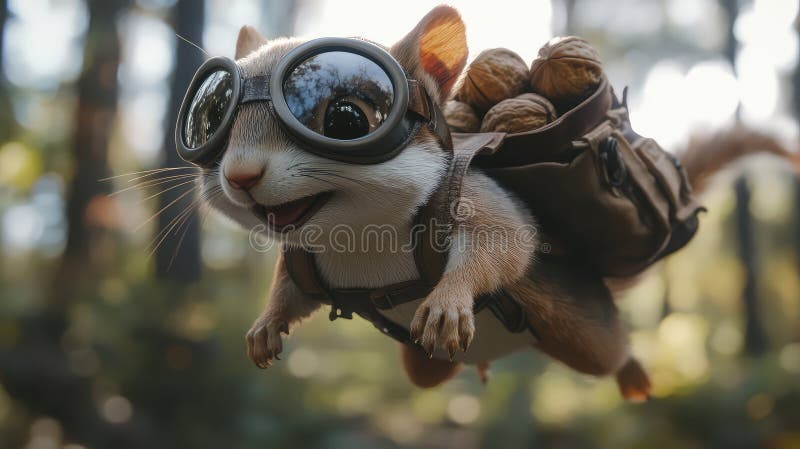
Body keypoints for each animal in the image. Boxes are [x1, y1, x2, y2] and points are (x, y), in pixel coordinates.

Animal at [196, 6, 797, 401]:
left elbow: (505, 242)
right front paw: (265, 326)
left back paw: (631, 375)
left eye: (347, 118)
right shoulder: (303, 259)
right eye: (209, 120)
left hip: (584, 331)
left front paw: (448, 300)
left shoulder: (482, 201)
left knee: (613, 351)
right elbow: (290, 288)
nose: (241, 175)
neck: (358, 235)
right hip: (425, 365)